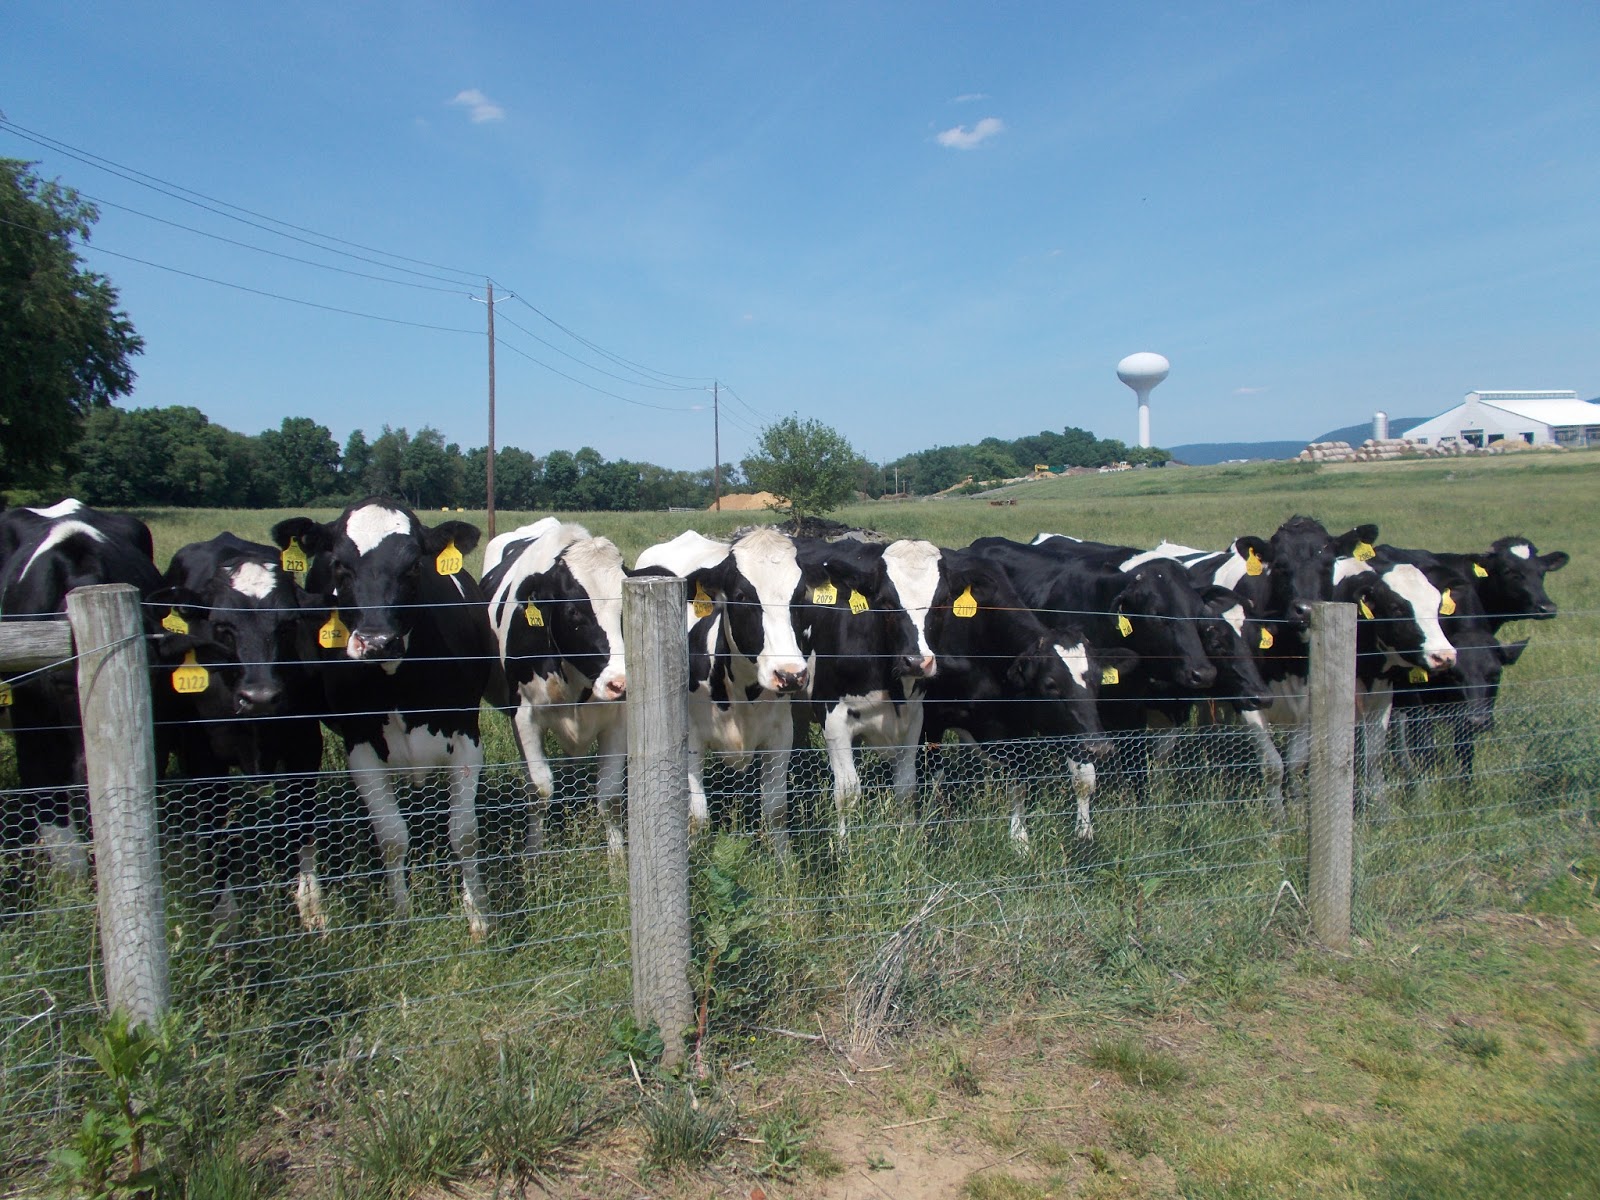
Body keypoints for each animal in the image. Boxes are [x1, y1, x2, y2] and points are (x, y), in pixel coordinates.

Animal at [152, 533, 327, 928]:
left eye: (287, 625)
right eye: (222, 628)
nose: (260, 697)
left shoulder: (306, 748)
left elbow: (301, 823)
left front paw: (310, 905)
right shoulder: (202, 758)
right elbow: (215, 829)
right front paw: (223, 913)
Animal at [271, 499, 497, 938]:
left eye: (413, 567)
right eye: (340, 565)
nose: (377, 641)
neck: (399, 678)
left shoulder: (467, 735)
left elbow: (463, 833)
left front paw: (478, 915)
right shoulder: (359, 748)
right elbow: (392, 836)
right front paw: (402, 917)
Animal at [481, 521, 633, 855]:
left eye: (628, 606)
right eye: (573, 611)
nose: (621, 683)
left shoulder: (618, 718)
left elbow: (610, 794)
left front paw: (617, 856)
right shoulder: (523, 716)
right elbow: (539, 791)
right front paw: (534, 853)